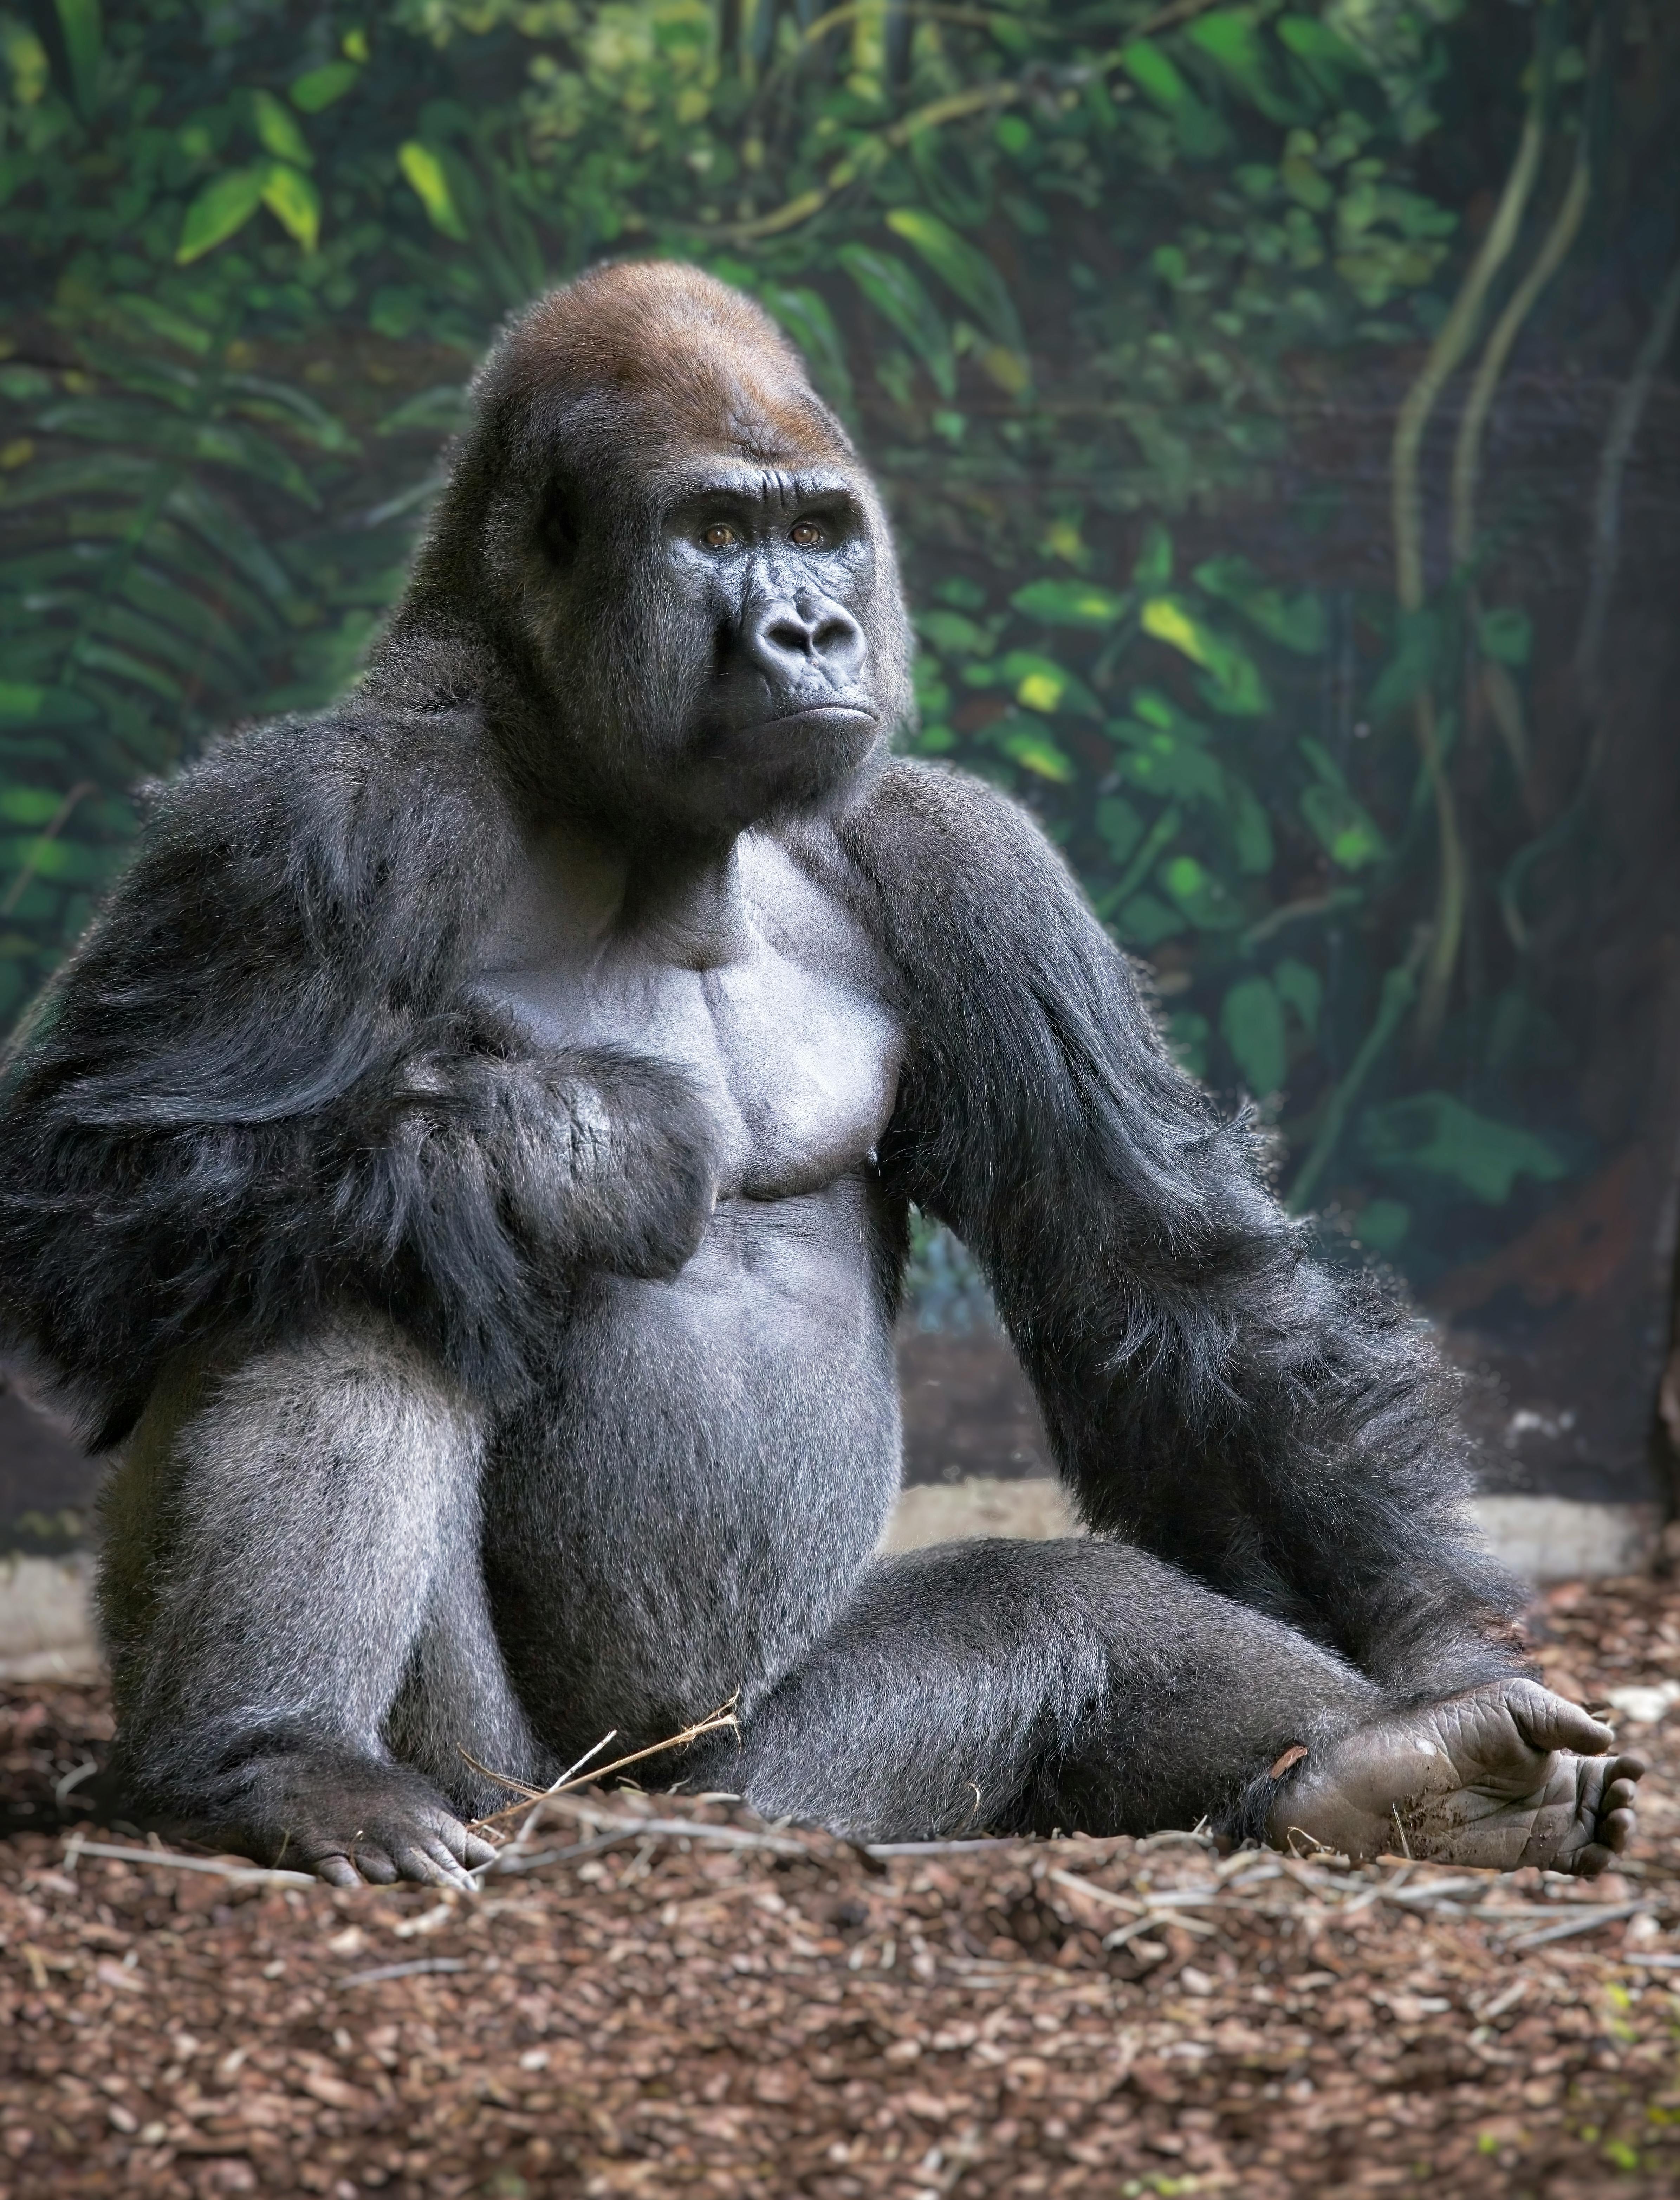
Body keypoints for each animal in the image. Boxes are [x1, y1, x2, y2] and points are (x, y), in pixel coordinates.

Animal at [0, 262, 1642, 1887]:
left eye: (817, 532)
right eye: (717, 534)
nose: (807, 633)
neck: (610, 794)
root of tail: (648, 1799)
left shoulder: (963, 862)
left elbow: (1158, 1286)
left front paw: (1433, 1649)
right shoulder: (319, 824)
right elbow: (85, 1187)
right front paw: (568, 1147)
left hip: (800, 1767)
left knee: (1049, 1615)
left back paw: (1397, 1771)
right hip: (511, 1773)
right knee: (351, 1252)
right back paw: (272, 1757)